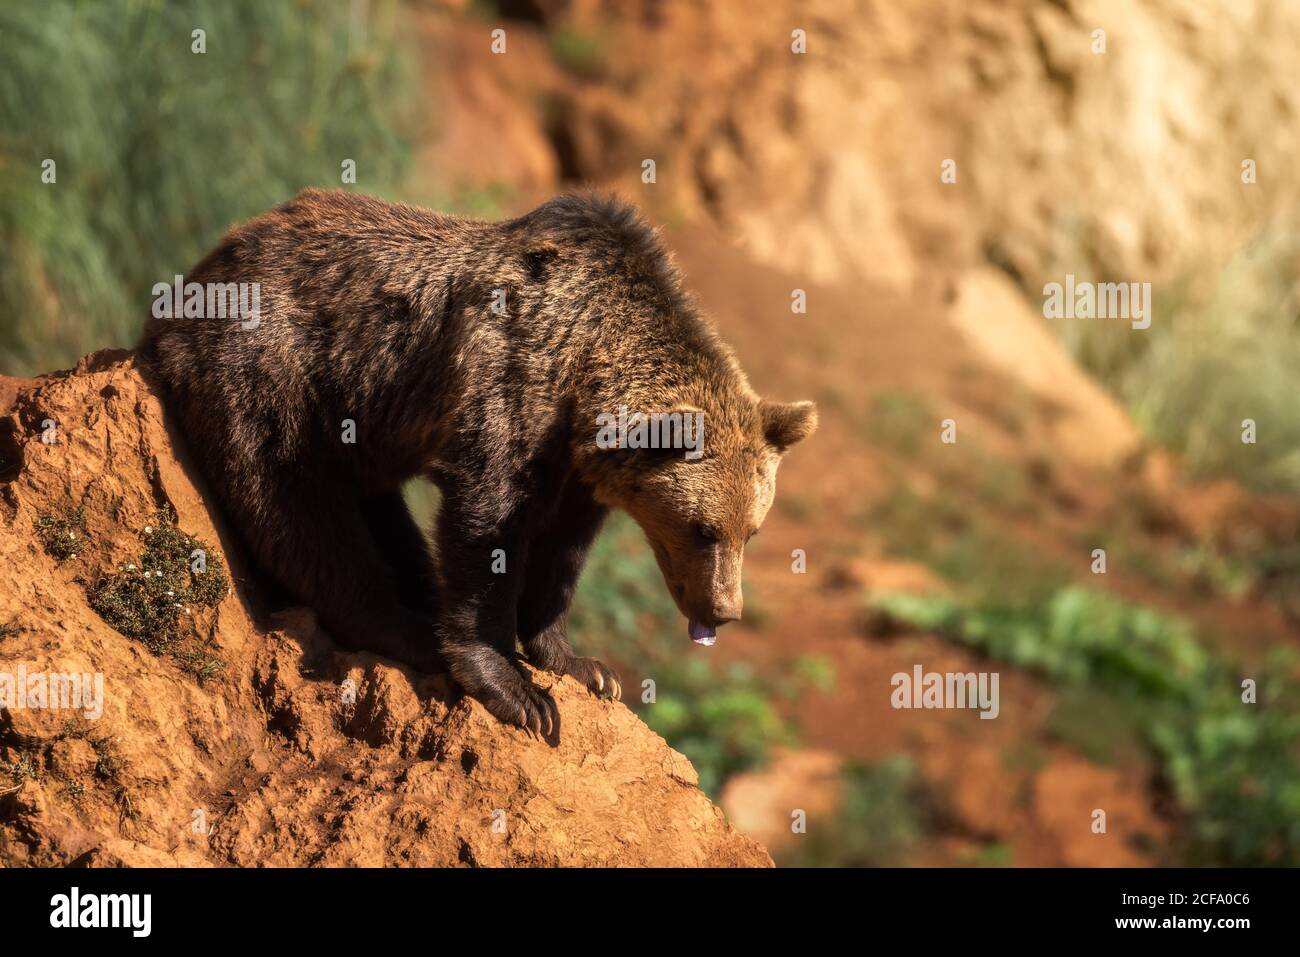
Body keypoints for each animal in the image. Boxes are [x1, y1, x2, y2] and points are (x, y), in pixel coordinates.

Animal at [139, 189, 816, 734]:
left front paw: (585, 666)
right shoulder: (508, 389)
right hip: (275, 379)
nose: (723, 611)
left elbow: (561, 553)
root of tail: (190, 282)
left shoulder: (577, 469)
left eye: (751, 532)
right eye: (702, 530)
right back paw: (405, 628)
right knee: (299, 512)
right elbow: (486, 525)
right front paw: (522, 695)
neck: (584, 370)